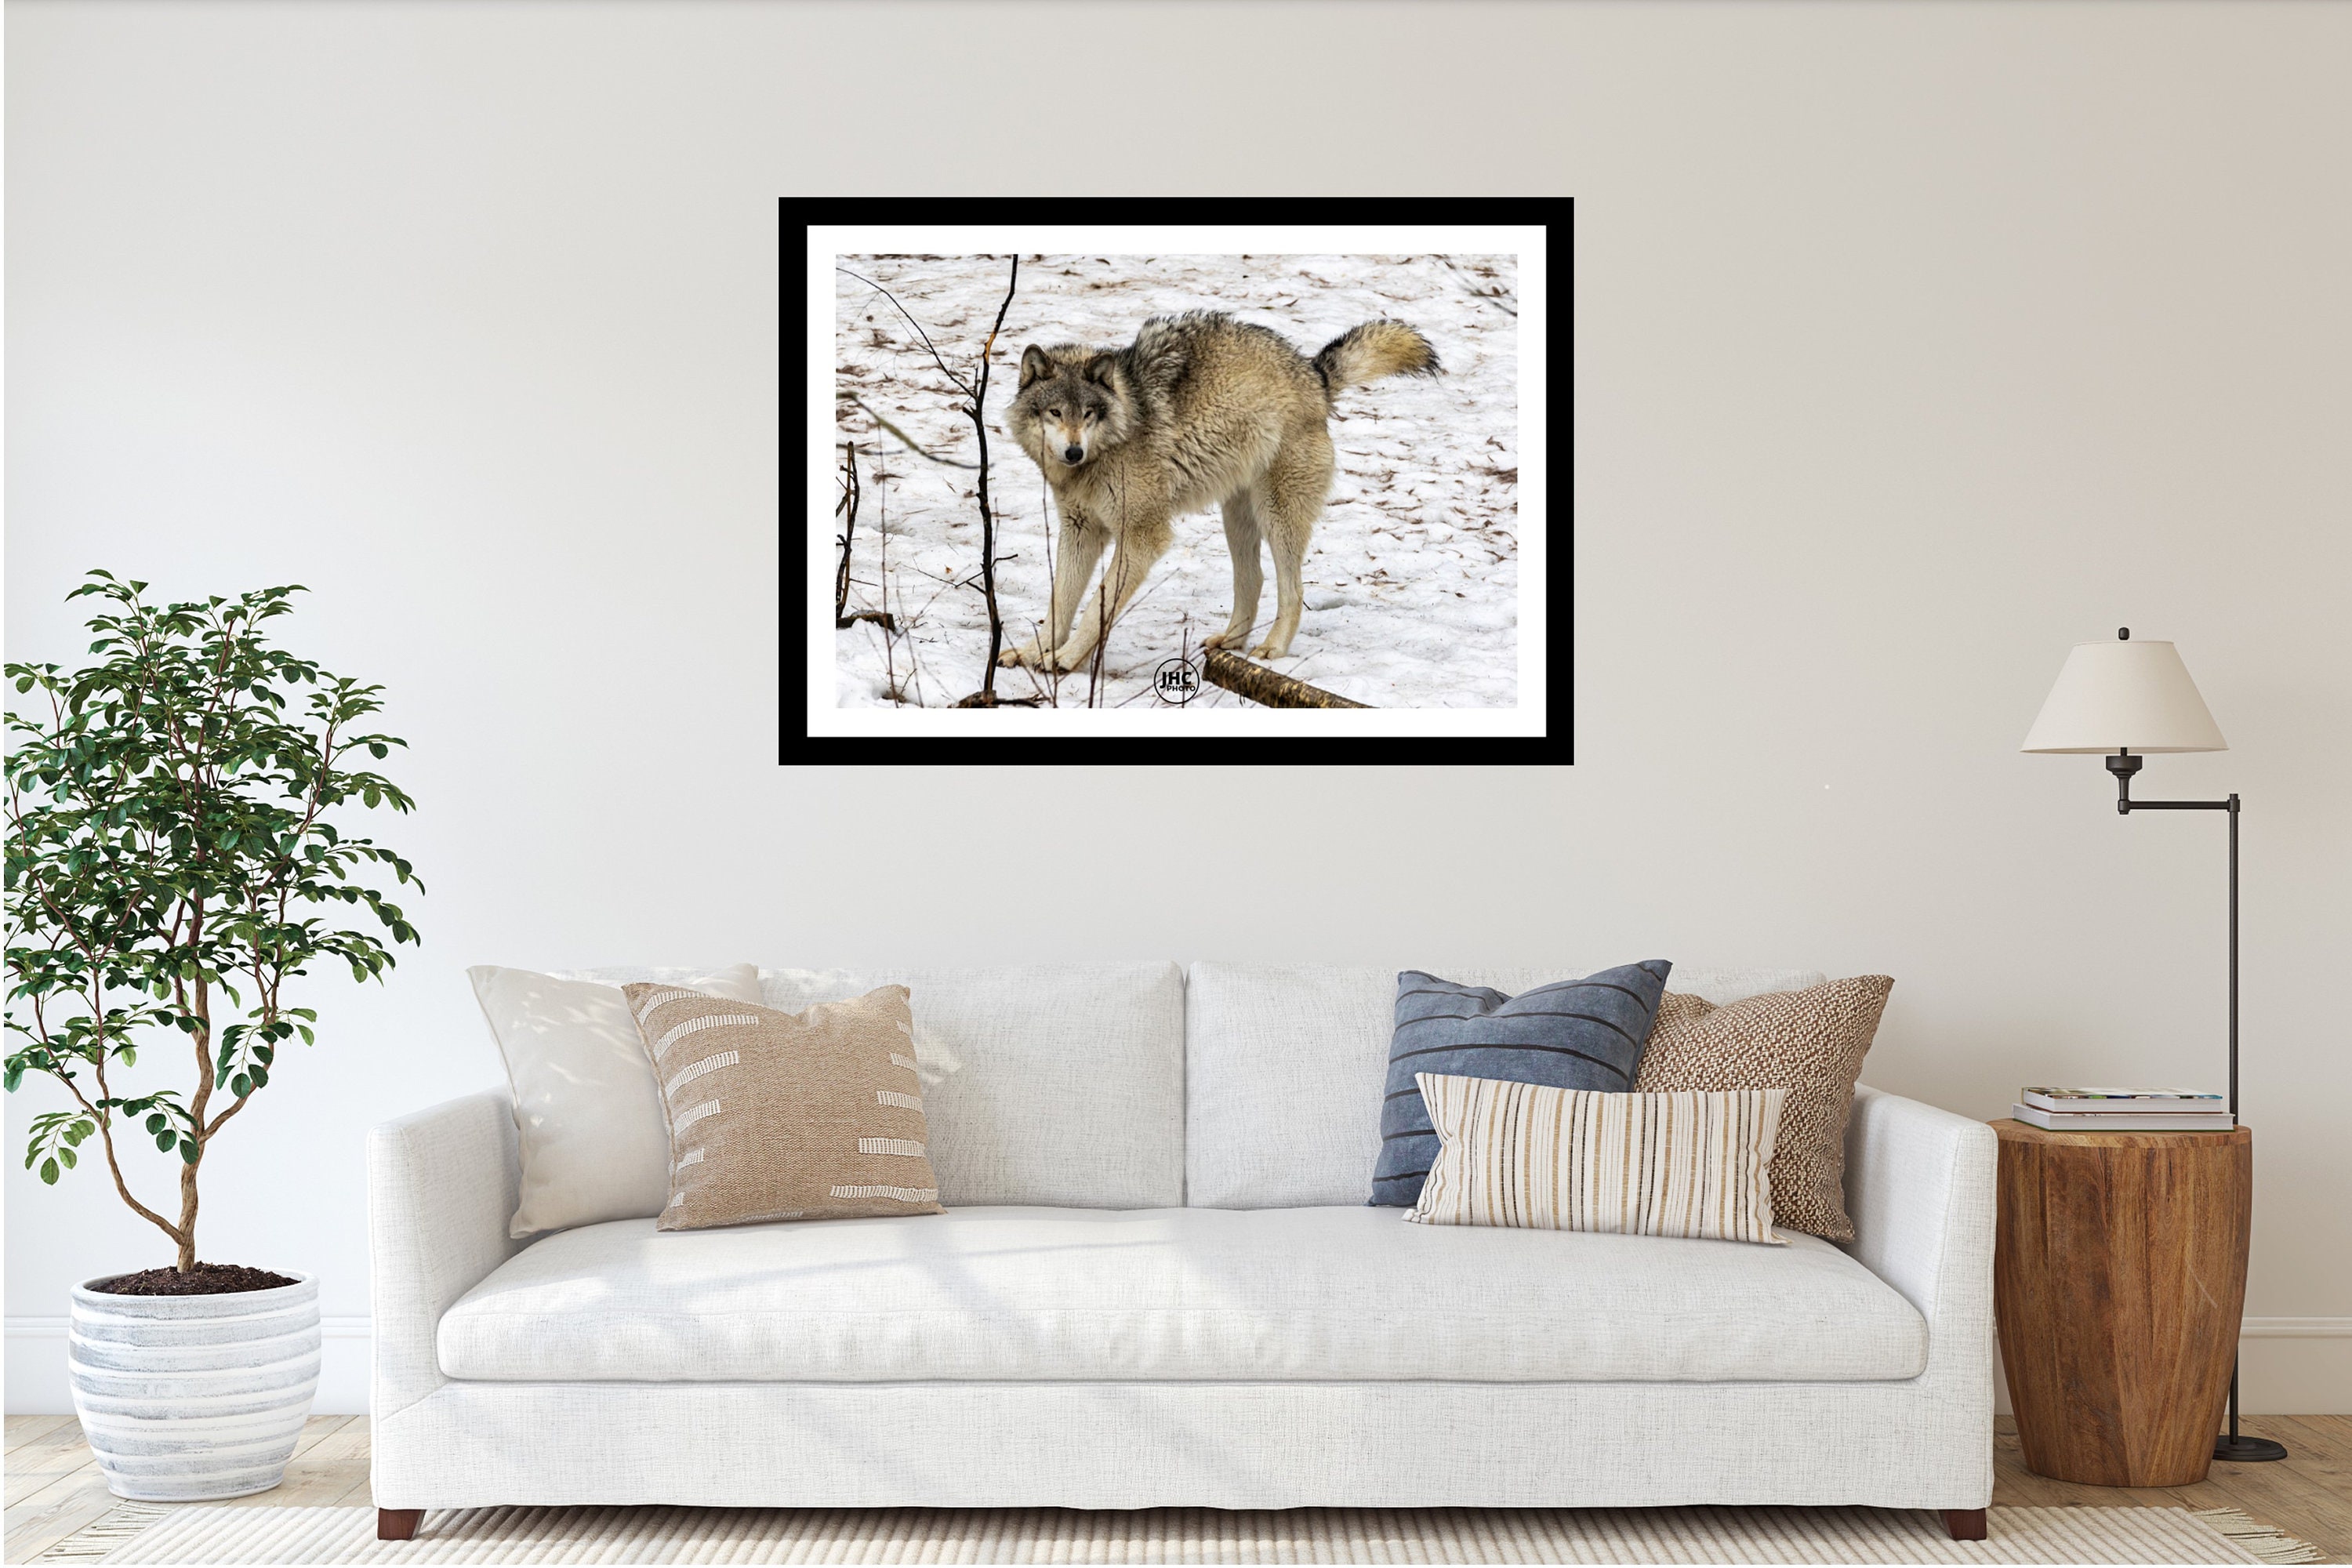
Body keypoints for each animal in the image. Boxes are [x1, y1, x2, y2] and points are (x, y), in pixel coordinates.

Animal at [1000, 309, 1440, 671]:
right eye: (1055, 413)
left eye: (1089, 414)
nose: (1073, 452)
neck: (1114, 439)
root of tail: (1313, 374)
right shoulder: (1080, 530)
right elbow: (1060, 601)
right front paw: (1031, 651)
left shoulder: (1142, 536)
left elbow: (1096, 608)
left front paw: (1065, 658)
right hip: (1236, 518)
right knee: (1254, 579)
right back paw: (1231, 641)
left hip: (1276, 514)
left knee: (1293, 590)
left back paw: (1271, 648)